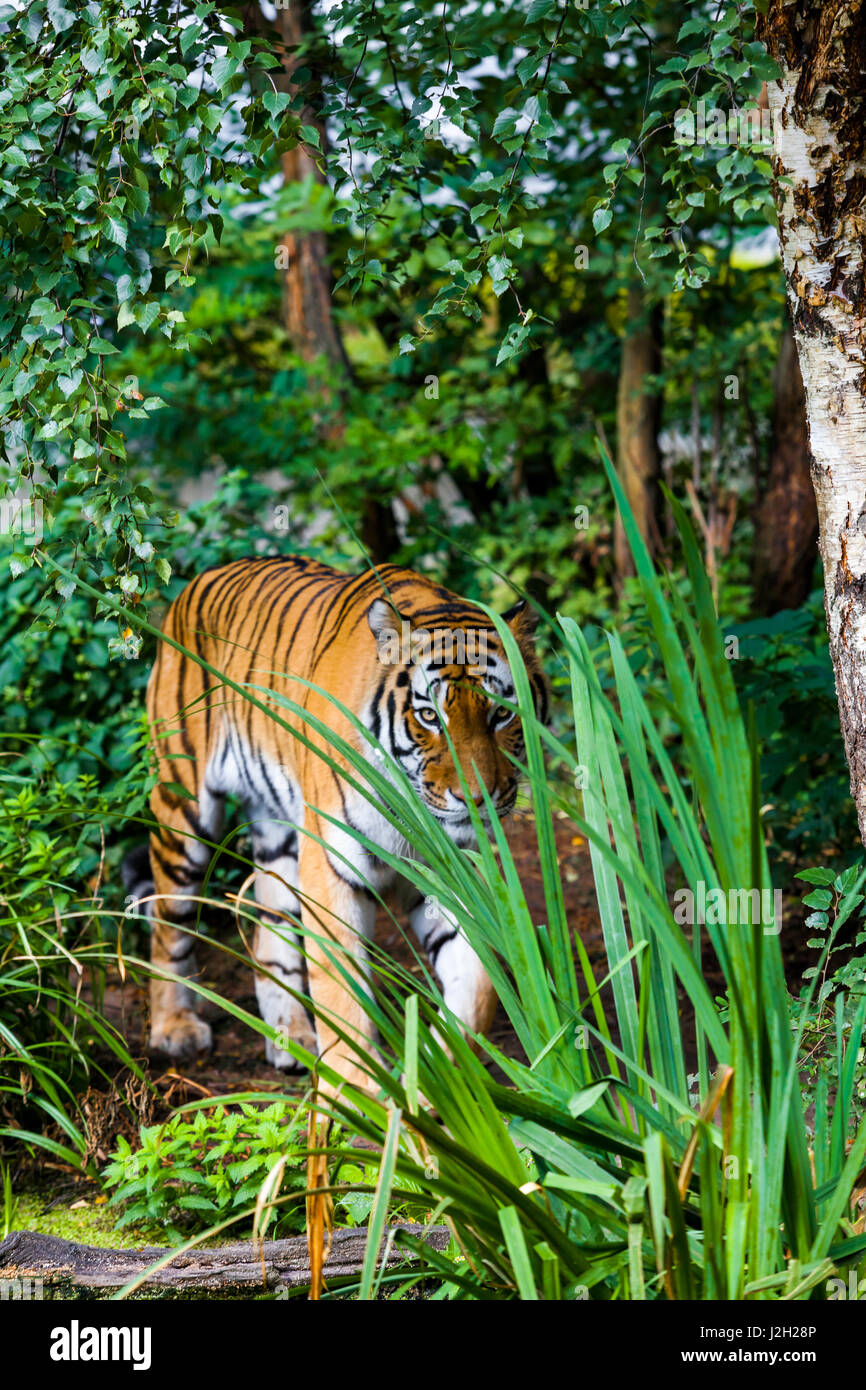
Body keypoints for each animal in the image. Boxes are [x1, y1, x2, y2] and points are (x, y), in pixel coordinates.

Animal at [126, 554, 547, 1093]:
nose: (475, 801)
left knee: (271, 928)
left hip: (280, 835)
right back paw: (173, 1028)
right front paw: (359, 1091)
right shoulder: (332, 866)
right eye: (430, 717)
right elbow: (342, 993)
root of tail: (196, 580)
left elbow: (477, 984)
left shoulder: (451, 873)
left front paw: (441, 1076)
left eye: (501, 714)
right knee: (169, 922)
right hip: (184, 809)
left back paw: (291, 1037)